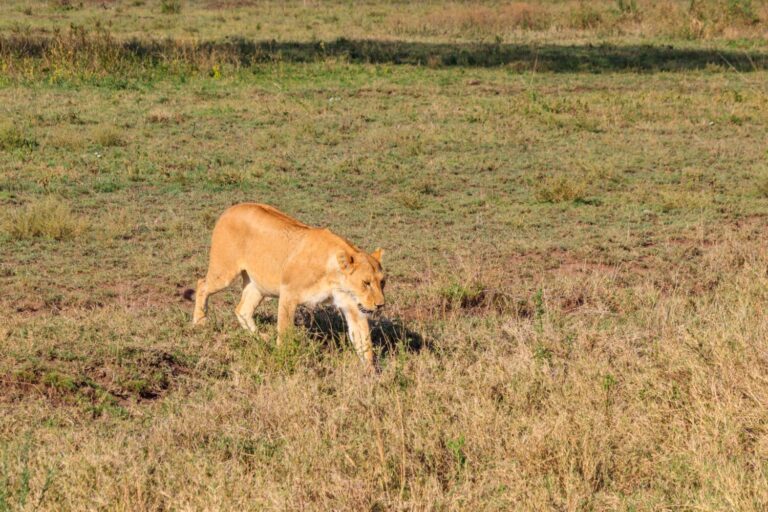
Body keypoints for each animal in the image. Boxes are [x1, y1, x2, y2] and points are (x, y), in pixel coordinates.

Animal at [192, 203, 386, 368]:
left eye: (382, 282)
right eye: (366, 283)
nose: (380, 305)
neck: (333, 276)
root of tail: (231, 208)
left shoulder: (353, 306)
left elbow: (364, 341)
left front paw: (370, 373)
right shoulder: (288, 293)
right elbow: (284, 332)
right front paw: (283, 358)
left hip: (259, 285)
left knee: (242, 310)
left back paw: (261, 339)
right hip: (224, 272)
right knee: (202, 284)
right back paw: (200, 322)